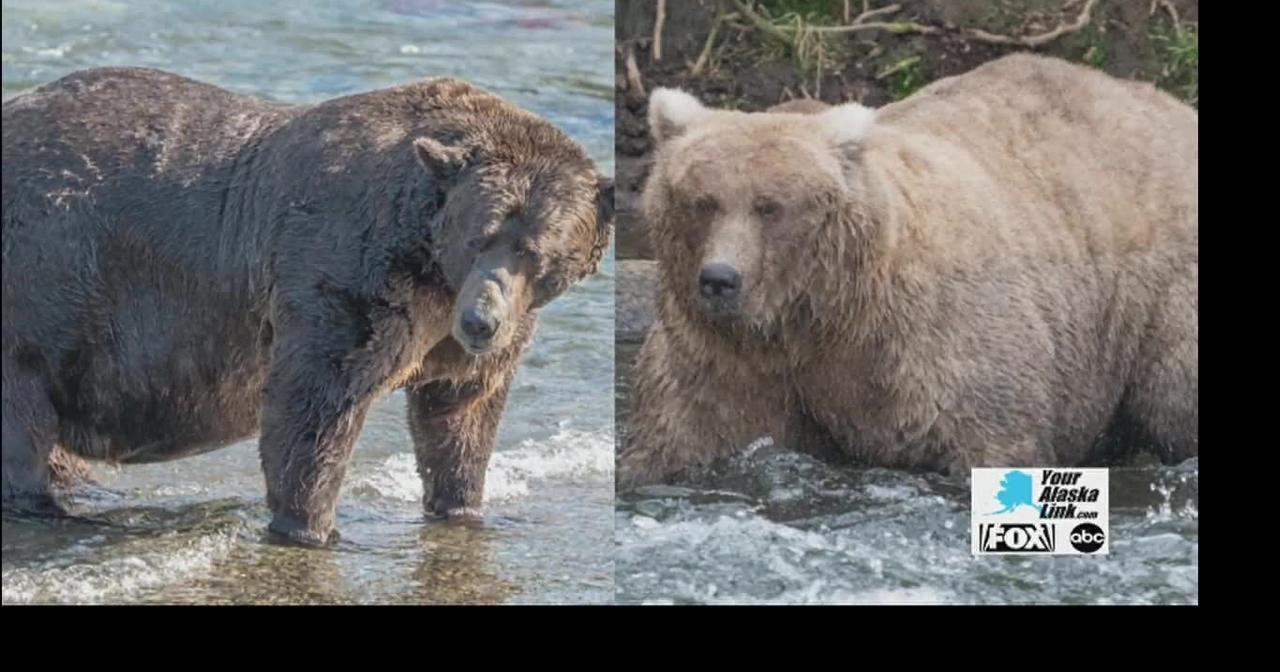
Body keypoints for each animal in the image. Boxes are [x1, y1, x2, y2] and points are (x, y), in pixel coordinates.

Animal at [2, 67, 614, 545]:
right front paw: (312, 526)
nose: (480, 321)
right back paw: (49, 508)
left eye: (535, 251)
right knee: (24, 415)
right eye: (478, 236)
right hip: (45, 281)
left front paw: (463, 506)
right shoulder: (348, 275)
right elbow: (315, 405)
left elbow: (461, 412)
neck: (430, 265)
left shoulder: (461, 332)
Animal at [617, 53, 1197, 489]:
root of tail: (1175, 106)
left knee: (1173, 397)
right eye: (702, 201)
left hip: (1161, 297)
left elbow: (992, 434)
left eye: (770, 206)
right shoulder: (725, 360)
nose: (720, 279)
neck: (819, 317)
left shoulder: (936, 346)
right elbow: (683, 435)